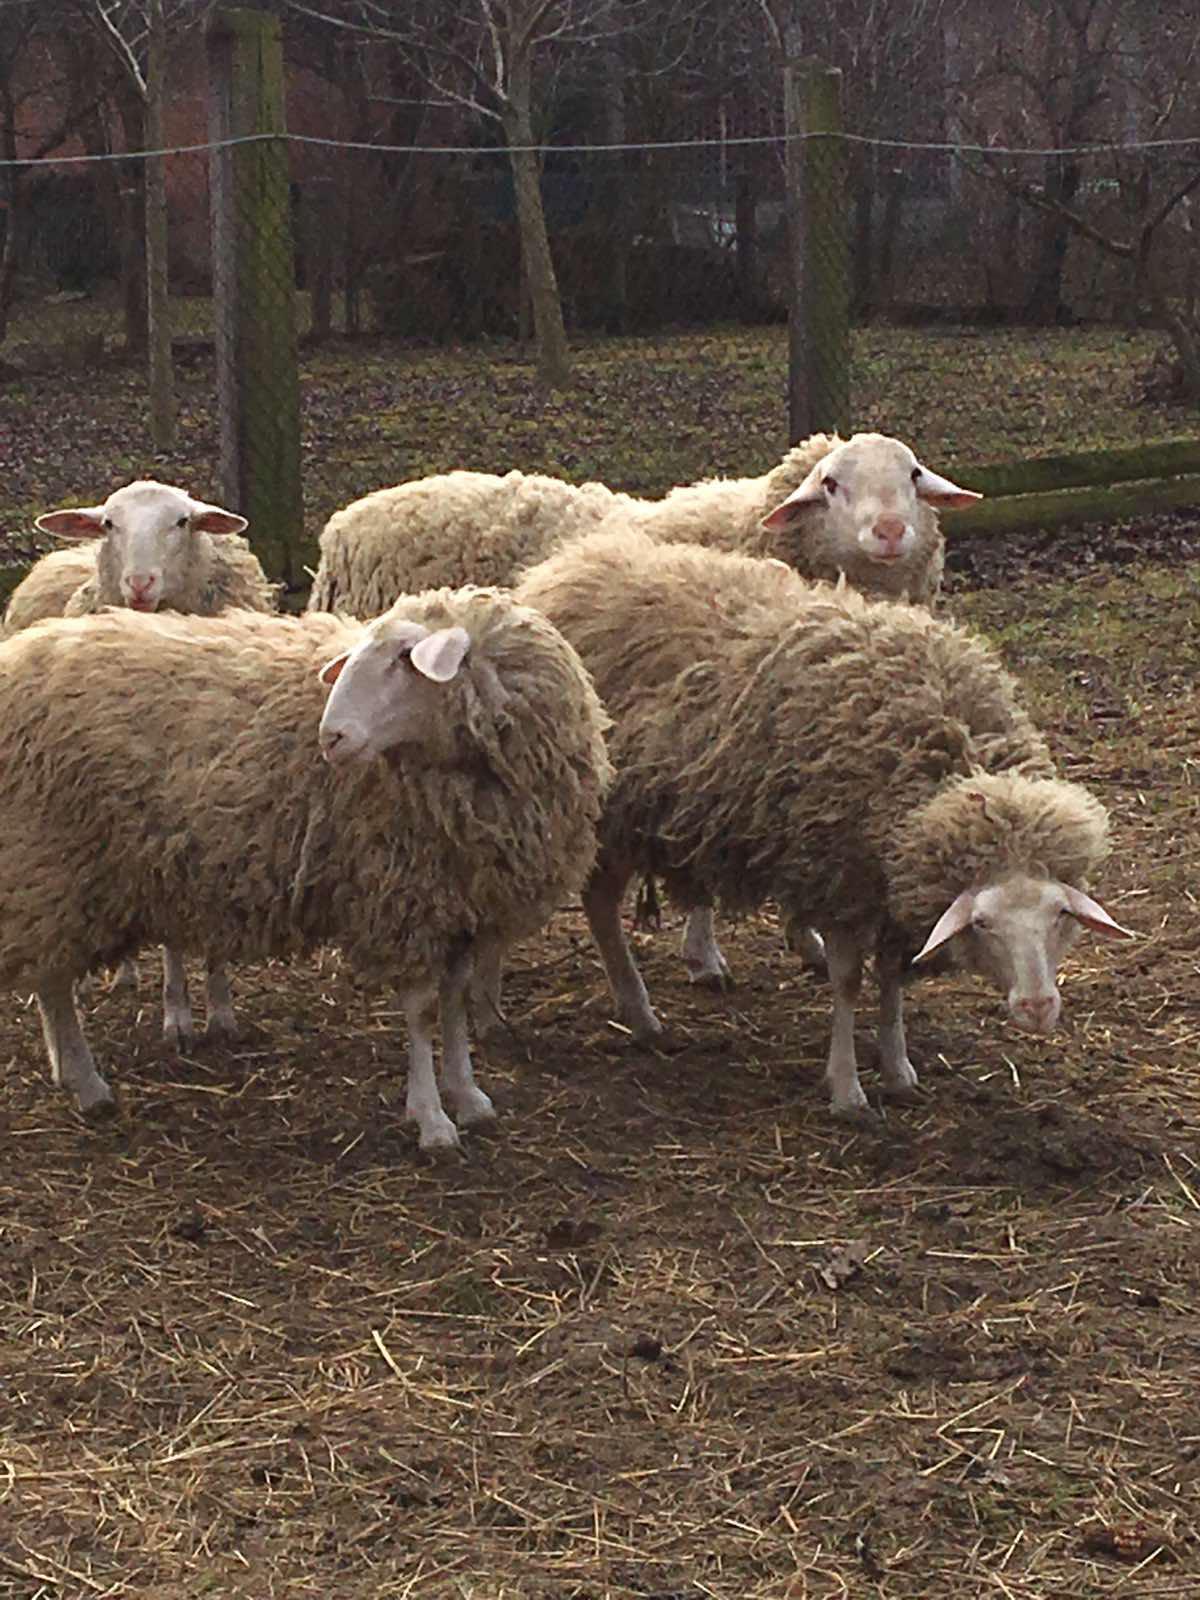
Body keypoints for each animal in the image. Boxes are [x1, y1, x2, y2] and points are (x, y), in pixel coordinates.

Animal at [0, 588, 611, 1148]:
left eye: (405, 657)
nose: (330, 737)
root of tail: (20, 652)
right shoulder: (401, 900)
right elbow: (421, 1013)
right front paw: (432, 1120)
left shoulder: (460, 905)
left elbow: (454, 1003)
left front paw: (469, 1097)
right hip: (50, 868)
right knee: (53, 984)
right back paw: (88, 1084)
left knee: (50, 982)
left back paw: (71, 1075)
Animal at [307, 434, 981, 988]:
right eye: (833, 484)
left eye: (913, 475)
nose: (890, 530)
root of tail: (345, 520)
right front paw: (707, 954)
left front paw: (804, 938)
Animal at [514, 529, 1133, 1120]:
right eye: (982, 923)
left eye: (1060, 915)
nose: (1037, 1008)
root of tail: (566, 566)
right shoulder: (837, 873)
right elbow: (850, 983)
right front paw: (847, 1089)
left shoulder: (883, 887)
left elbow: (891, 978)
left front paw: (898, 1070)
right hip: (609, 817)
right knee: (600, 906)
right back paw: (640, 1015)